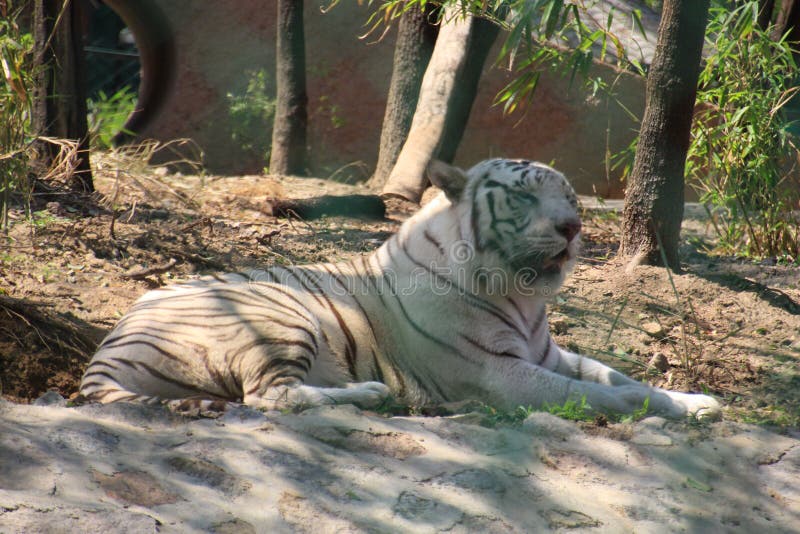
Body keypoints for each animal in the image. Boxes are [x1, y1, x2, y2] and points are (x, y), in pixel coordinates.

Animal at [80, 158, 721, 419]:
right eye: (523, 197)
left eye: (568, 196)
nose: (573, 227)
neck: (522, 296)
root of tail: (102, 354)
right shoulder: (501, 373)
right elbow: (606, 394)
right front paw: (672, 410)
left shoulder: (547, 353)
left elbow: (623, 377)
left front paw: (697, 401)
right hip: (277, 315)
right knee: (270, 397)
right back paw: (370, 395)